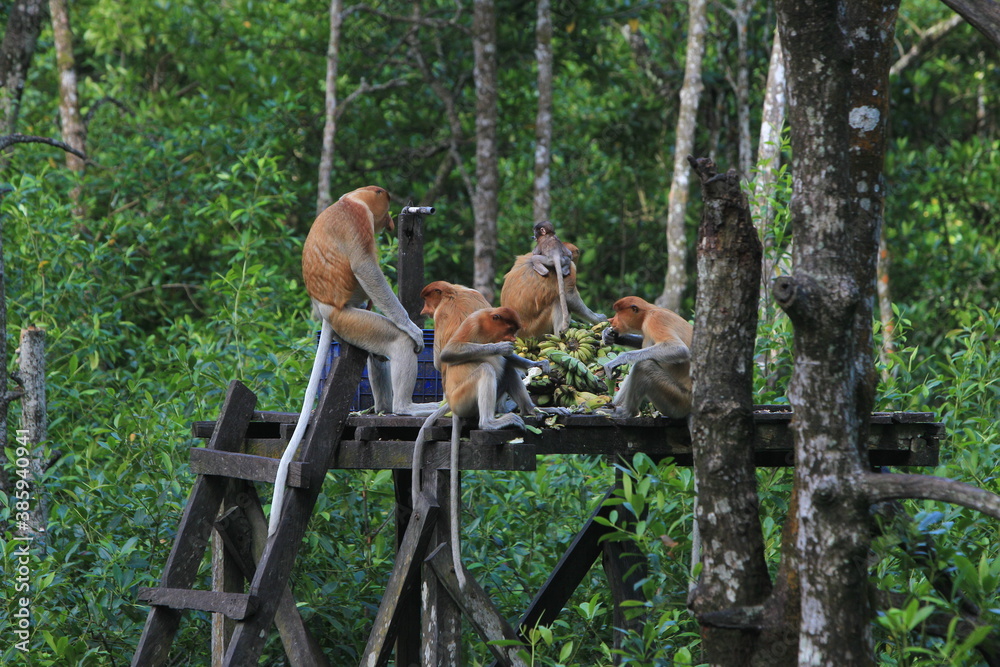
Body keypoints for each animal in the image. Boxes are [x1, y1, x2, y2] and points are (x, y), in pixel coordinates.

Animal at [269, 186, 435, 536]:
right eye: (384, 208)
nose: (389, 222)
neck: (351, 198)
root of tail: (325, 310)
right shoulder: (358, 221)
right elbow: (366, 269)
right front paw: (414, 328)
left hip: (354, 326)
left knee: (377, 353)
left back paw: (382, 409)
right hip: (350, 319)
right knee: (397, 342)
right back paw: (405, 408)